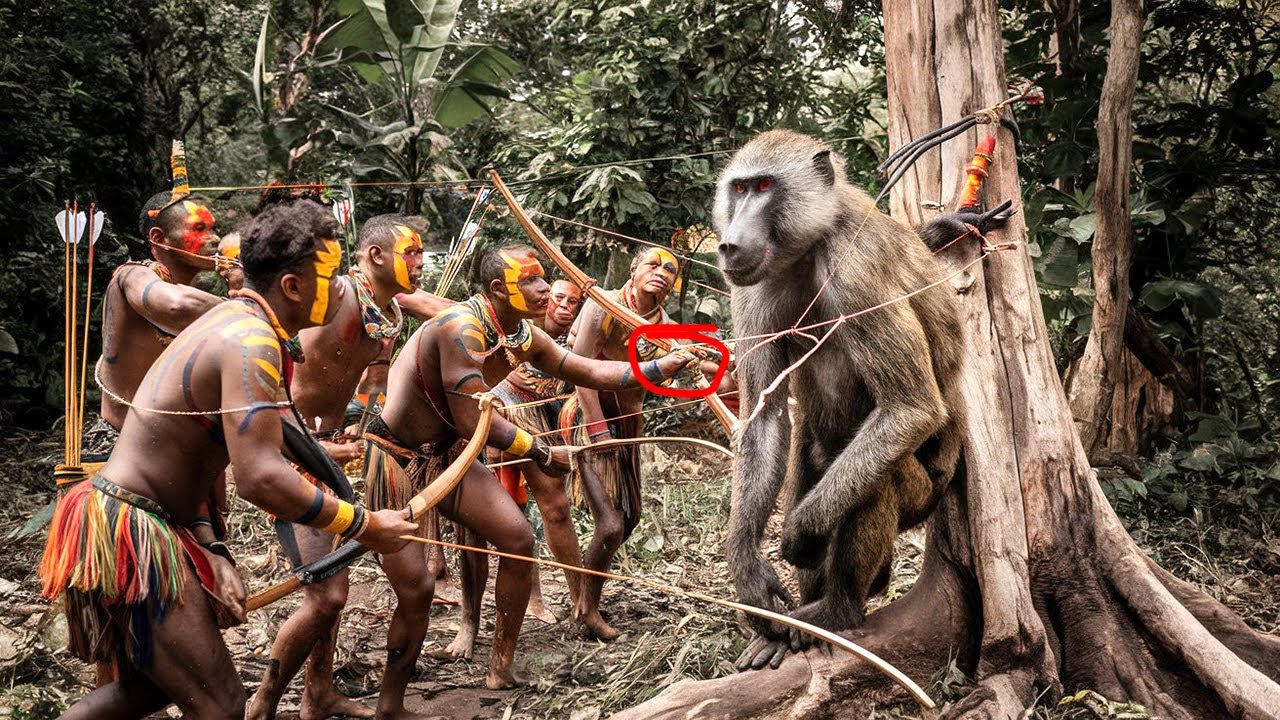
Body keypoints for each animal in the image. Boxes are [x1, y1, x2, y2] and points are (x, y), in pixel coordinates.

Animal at [715, 129, 1009, 670]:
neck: (810, 246)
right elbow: (765, 418)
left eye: (764, 186)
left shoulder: (856, 273)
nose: (729, 243)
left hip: (926, 492)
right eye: (739, 189)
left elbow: (909, 409)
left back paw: (837, 610)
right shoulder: (748, 289)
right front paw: (747, 568)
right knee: (814, 453)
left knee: (876, 477)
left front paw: (801, 532)